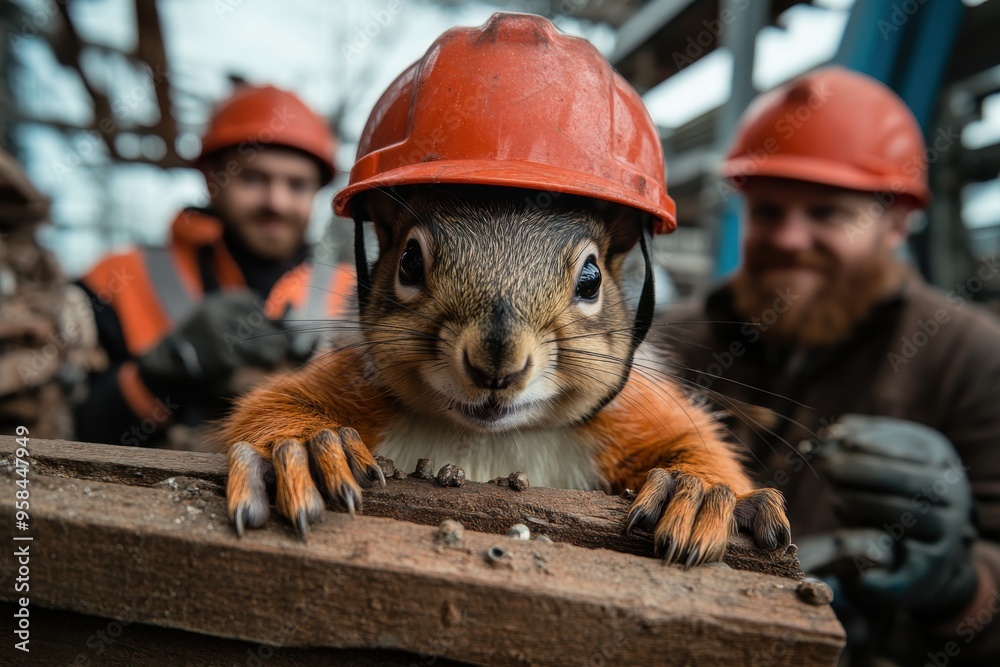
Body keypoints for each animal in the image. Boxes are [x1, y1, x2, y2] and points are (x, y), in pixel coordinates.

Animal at [219, 12, 790, 567]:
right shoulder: (353, 379)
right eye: (408, 261)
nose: (497, 365)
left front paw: (694, 488)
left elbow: (701, 444)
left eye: (591, 278)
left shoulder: (628, 414)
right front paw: (306, 448)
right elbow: (269, 404)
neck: (486, 438)